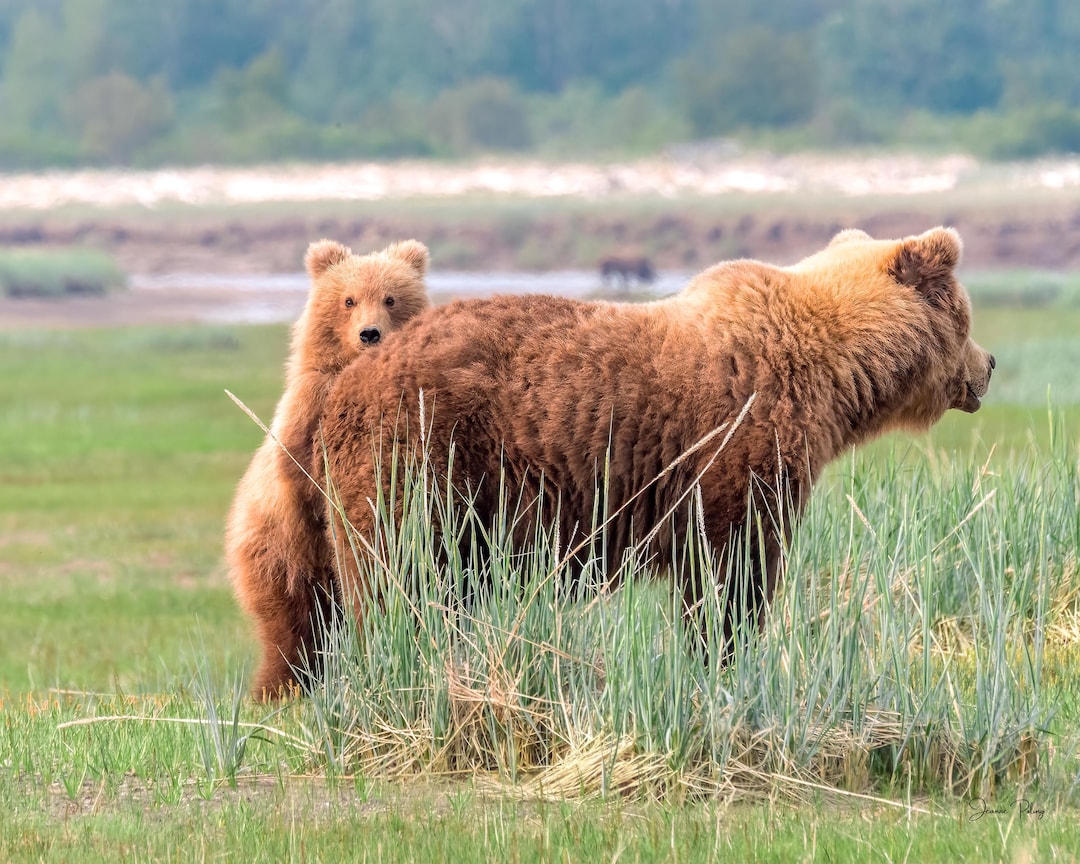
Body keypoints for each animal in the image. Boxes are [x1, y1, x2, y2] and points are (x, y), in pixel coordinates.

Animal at [226, 237, 431, 699]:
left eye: (390, 298)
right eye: (348, 299)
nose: (369, 333)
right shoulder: (308, 415)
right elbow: (305, 475)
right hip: (277, 553)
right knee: (290, 623)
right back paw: (279, 686)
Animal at [313, 227, 994, 645]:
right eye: (967, 317)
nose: (987, 365)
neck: (834, 376)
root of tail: (347, 386)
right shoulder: (737, 447)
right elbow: (734, 570)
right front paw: (728, 650)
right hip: (426, 456)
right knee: (397, 574)